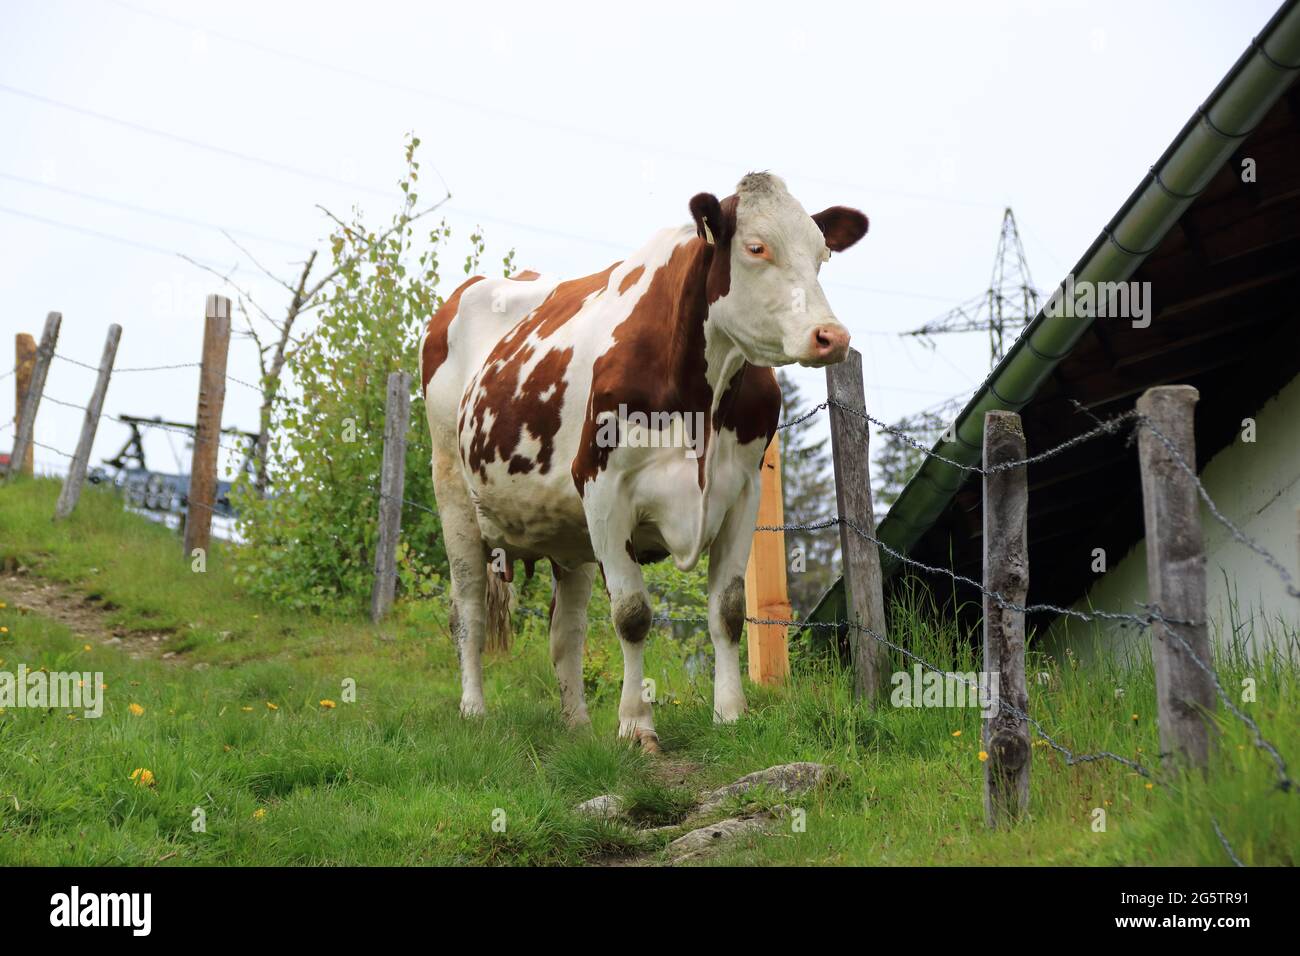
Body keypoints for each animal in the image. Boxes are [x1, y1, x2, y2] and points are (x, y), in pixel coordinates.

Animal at [420, 172, 867, 752]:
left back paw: (577, 723)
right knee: (469, 608)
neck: (702, 397)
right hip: (453, 489)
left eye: (821, 254)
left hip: (568, 533)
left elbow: (727, 611)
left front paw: (730, 713)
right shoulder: (603, 490)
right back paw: (474, 709)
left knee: (565, 631)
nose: (831, 336)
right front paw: (636, 724)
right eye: (756, 247)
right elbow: (631, 615)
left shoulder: (742, 493)